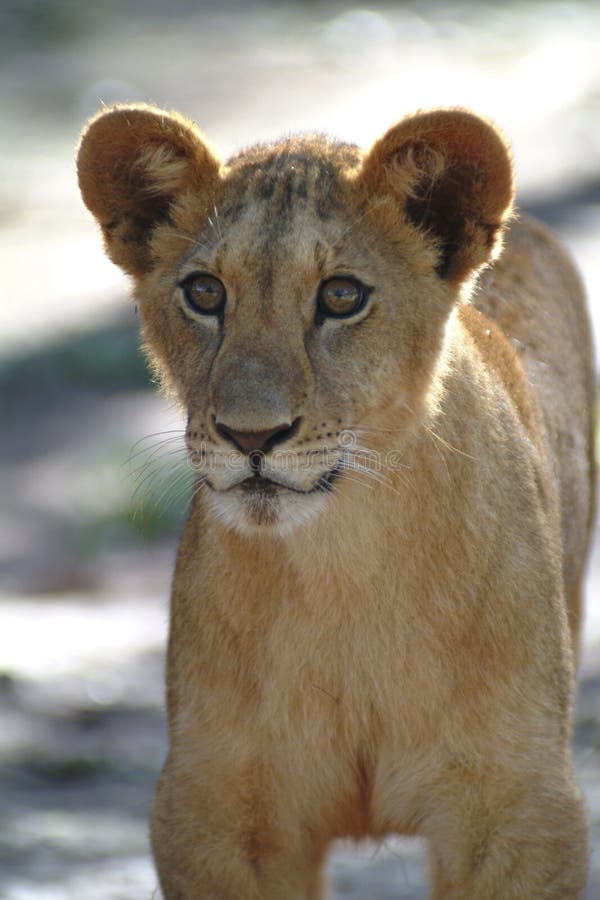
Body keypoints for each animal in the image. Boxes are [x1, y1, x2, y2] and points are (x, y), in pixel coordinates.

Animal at [77, 103, 596, 899]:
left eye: (342, 297)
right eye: (204, 293)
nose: (251, 434)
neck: (343, 567)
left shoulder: (520, 807)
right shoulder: (211, 810)